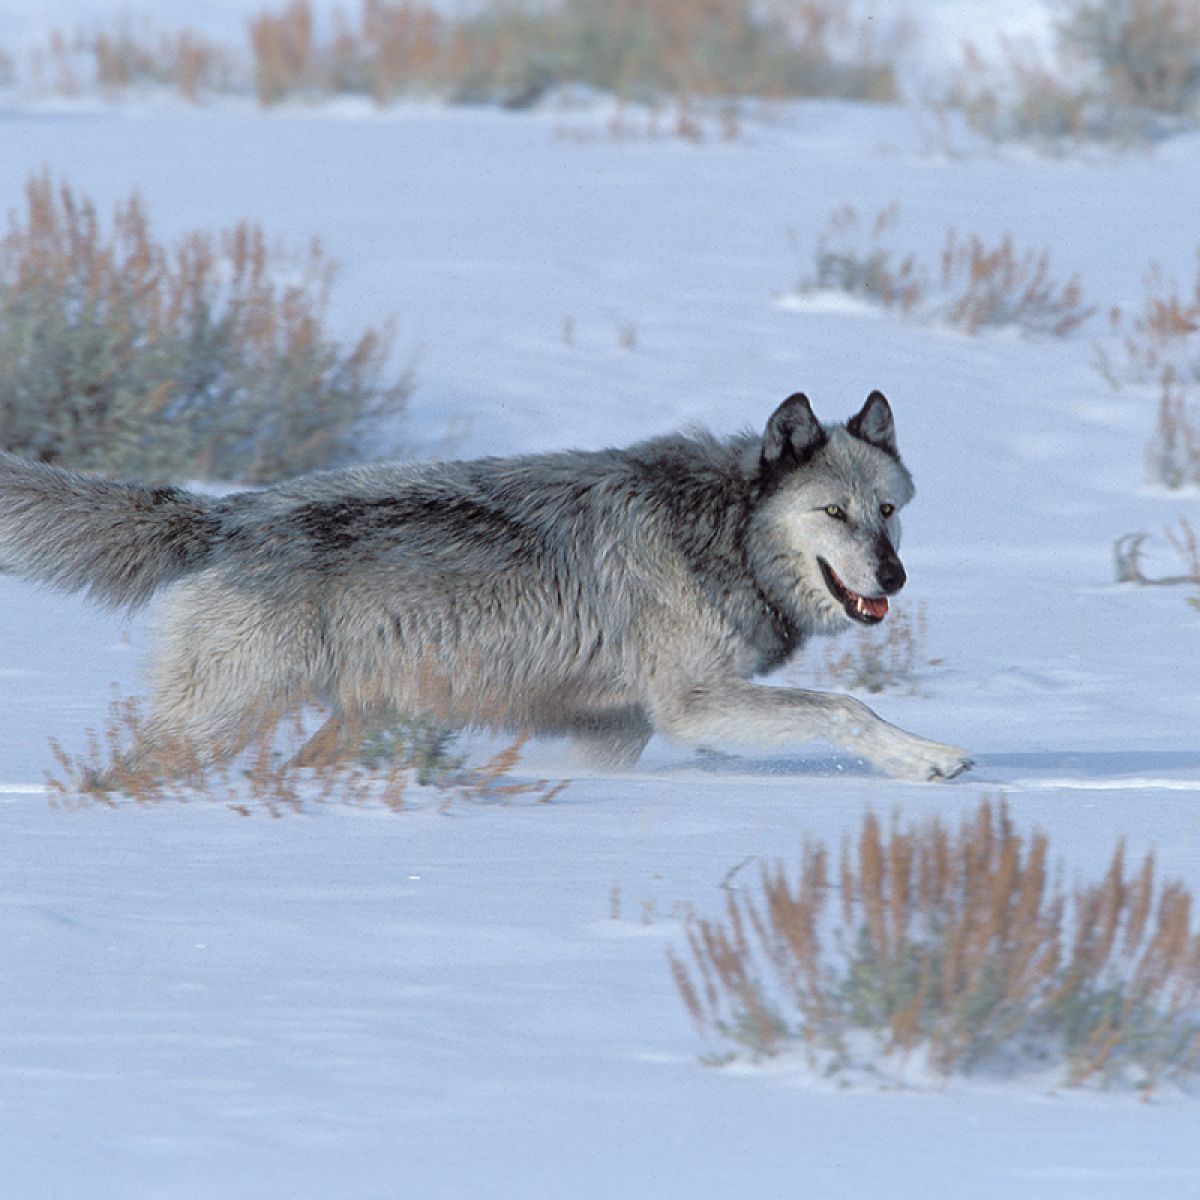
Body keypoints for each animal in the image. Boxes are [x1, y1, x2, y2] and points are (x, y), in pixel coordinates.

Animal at [0, 390, 971, 783]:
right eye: (833, 512)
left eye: (888, 511)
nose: (893, 575)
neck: (723, 530)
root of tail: (227, 514)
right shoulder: (691, 706)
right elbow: (846, 709)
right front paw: (927, 759)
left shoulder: (616, 733)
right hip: (225, 718)